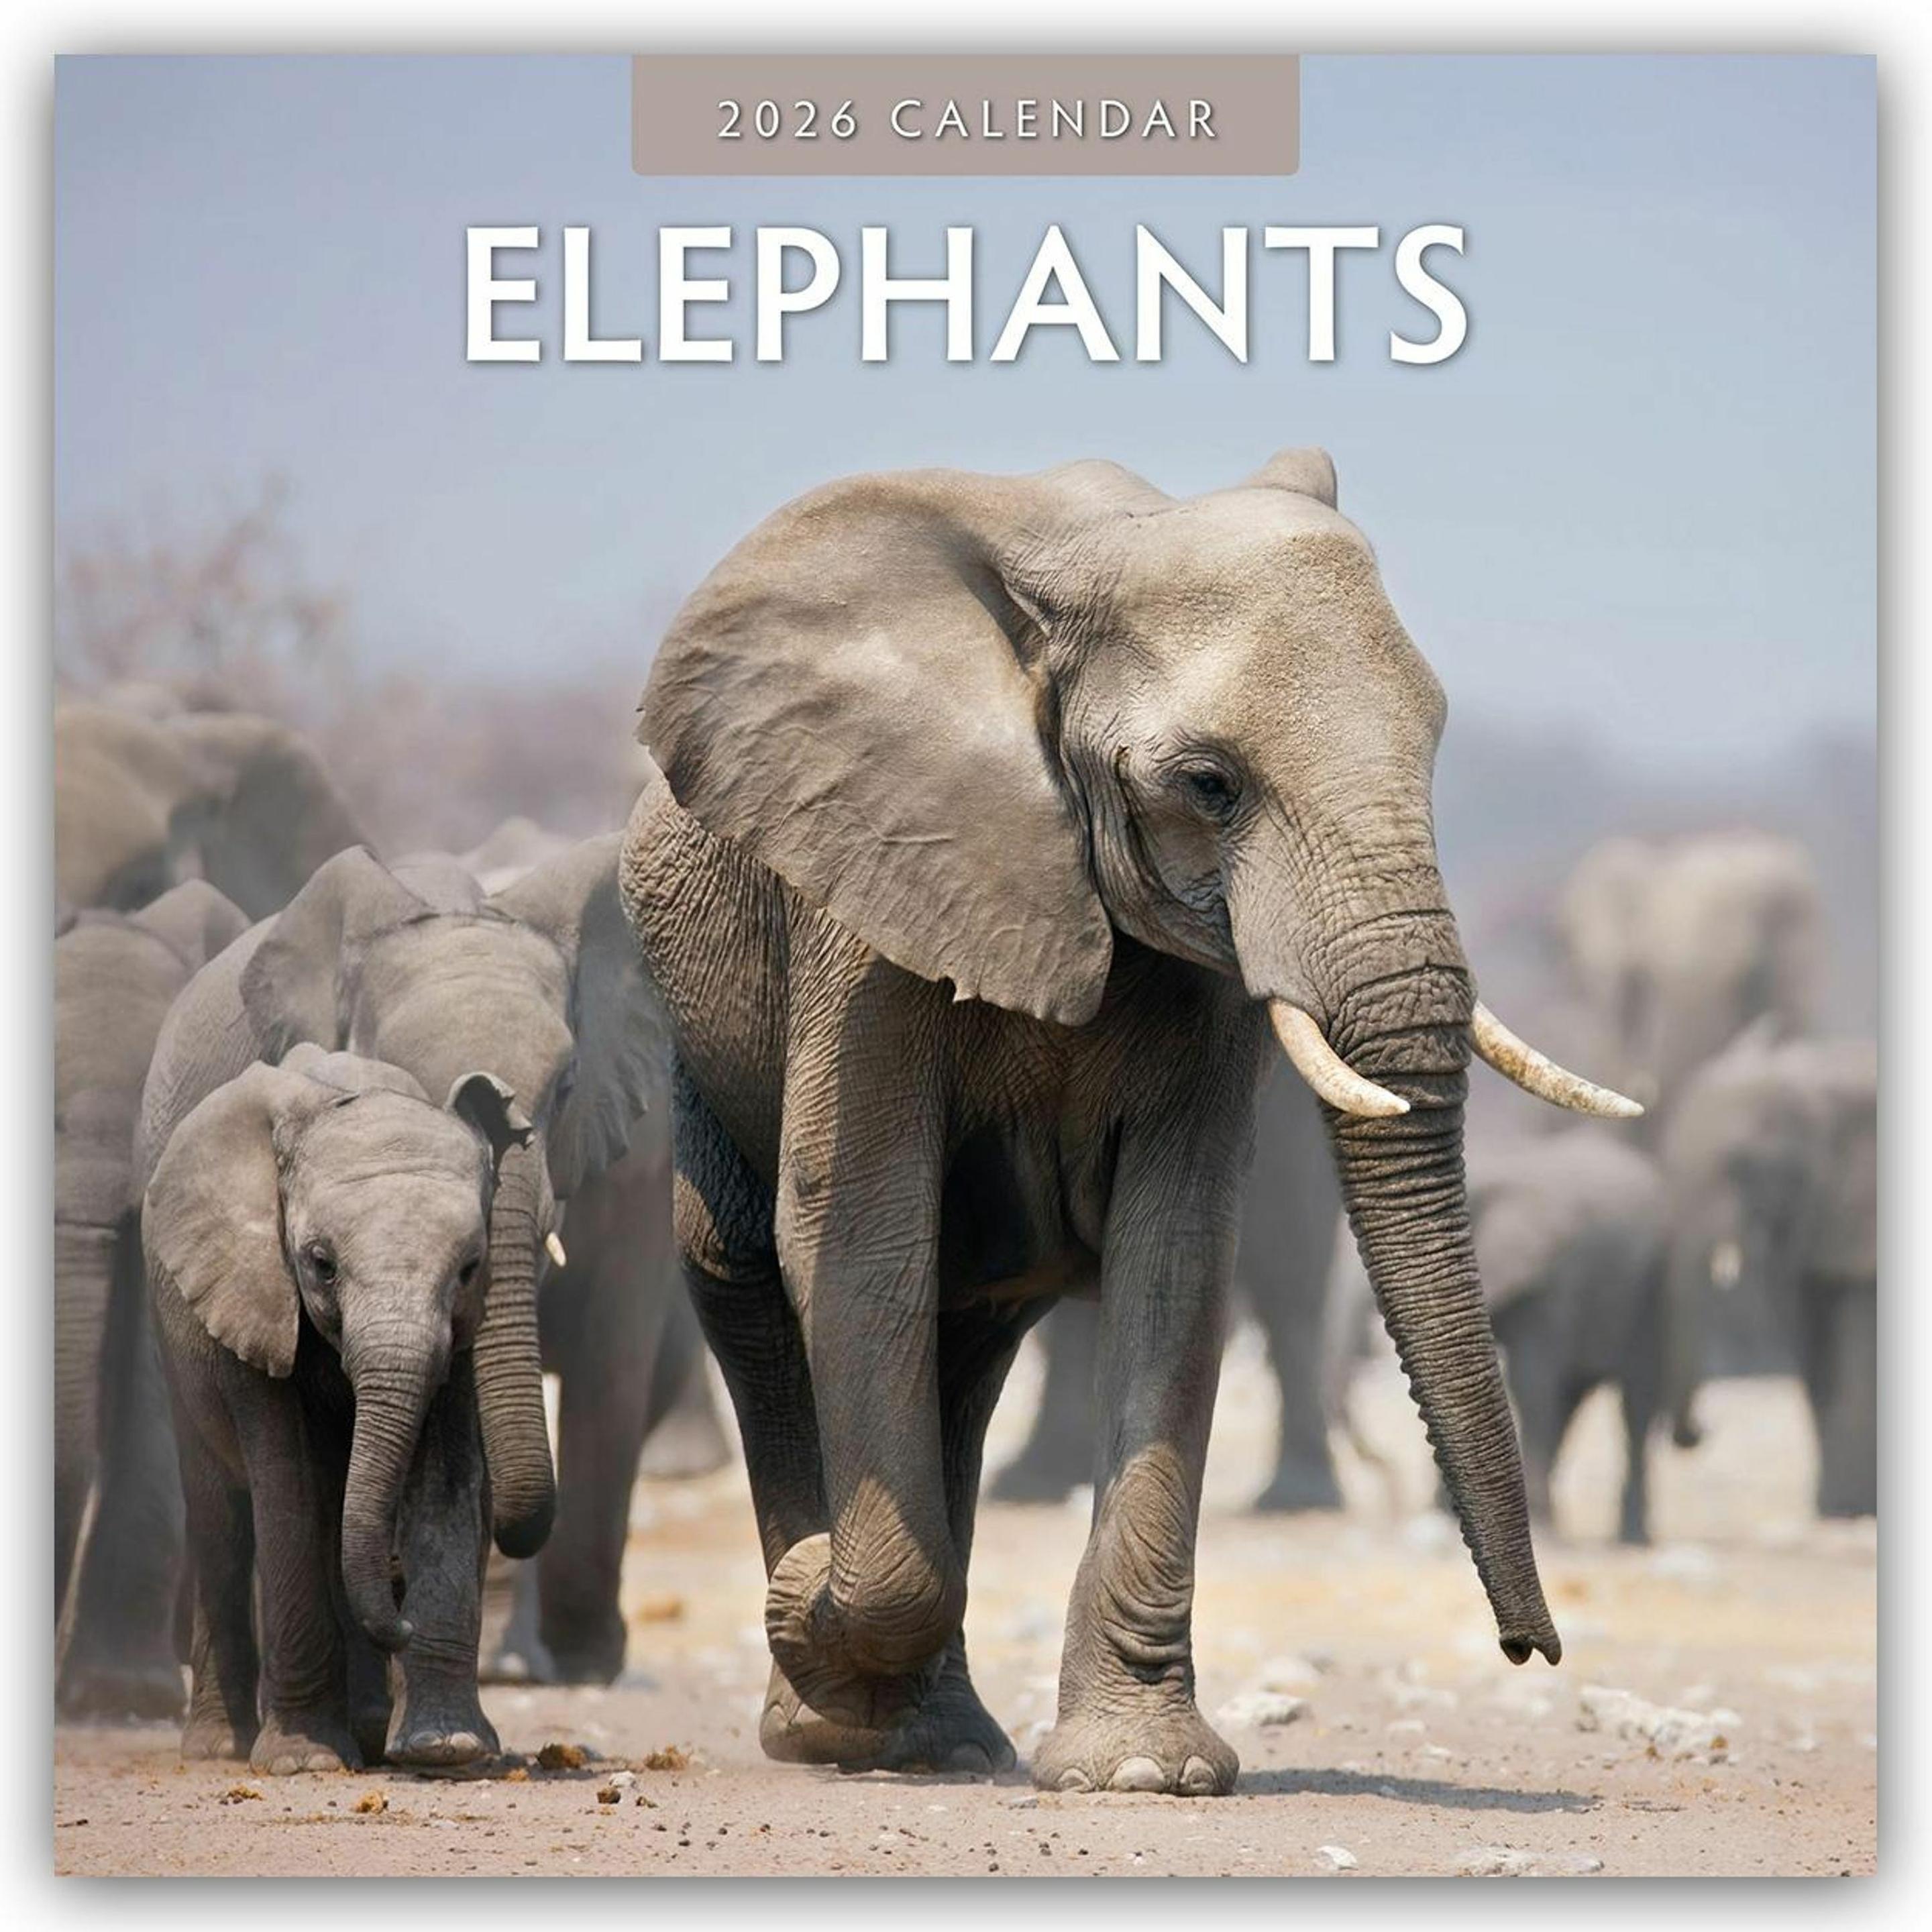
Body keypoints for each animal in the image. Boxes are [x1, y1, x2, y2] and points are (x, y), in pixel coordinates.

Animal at [146, 1046, 532, 1772]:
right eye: (320, 1263)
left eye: (470, 1268)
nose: (401, 1619)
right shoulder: (254, 1292)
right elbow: (288, 1489)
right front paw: (305, 1762)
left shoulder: (462, 1336)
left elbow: (443, 1483)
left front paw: (448, 1748)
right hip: (176, 1353)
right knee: (223, 1522)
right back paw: (219, 1748)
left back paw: (371, 1732)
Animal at [1660, 1025, 1877, 1519]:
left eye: (1743, 1166)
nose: (1703, 1429)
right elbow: (1811, 1339)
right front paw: (1835, 1508)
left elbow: (1859, 1339)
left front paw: (1853, 1510)